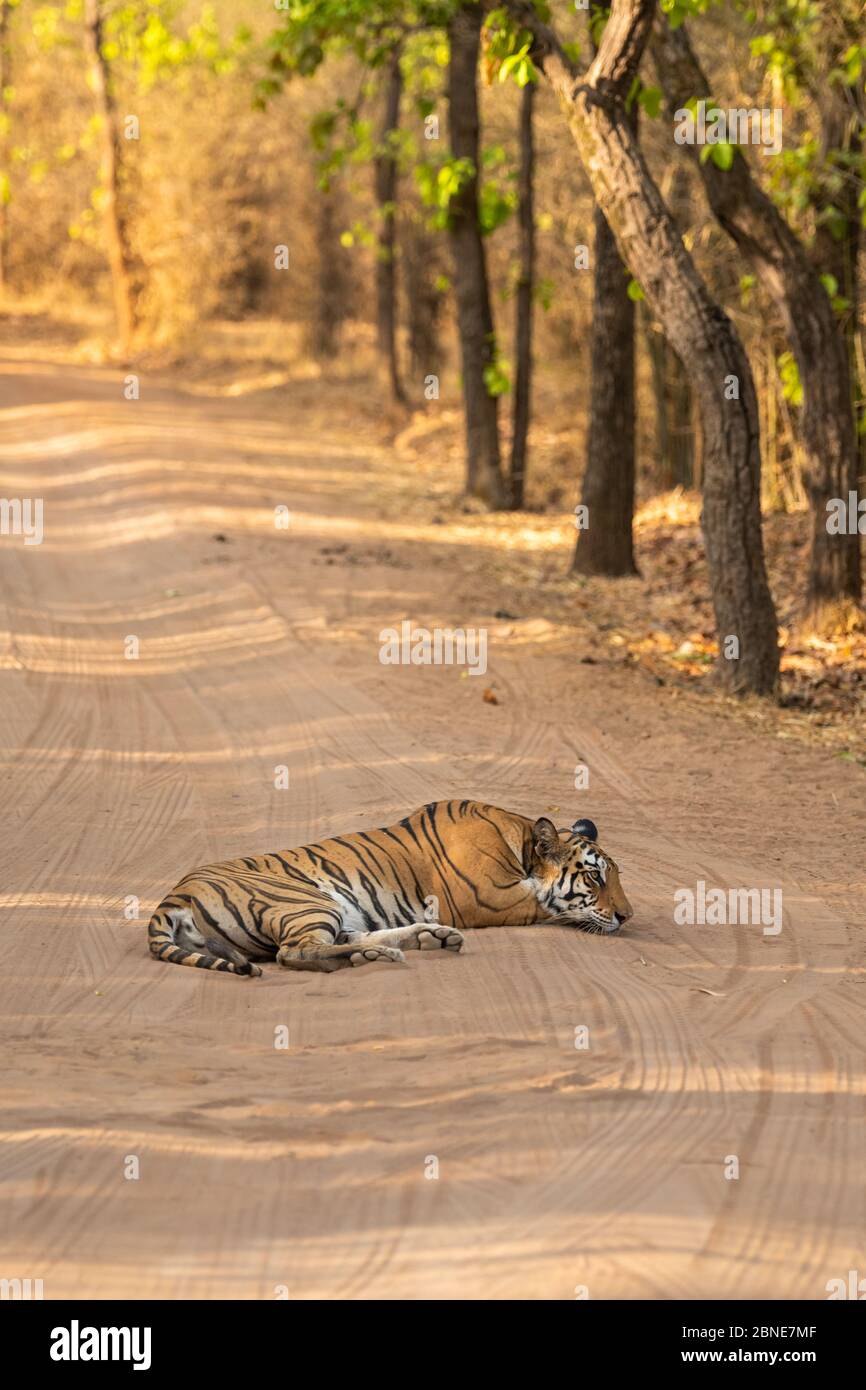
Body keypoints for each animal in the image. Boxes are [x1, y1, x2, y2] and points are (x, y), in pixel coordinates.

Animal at [147, 799, 633, 977]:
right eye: (595, 876)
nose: (627, 917)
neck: (519, 838)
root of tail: (174, 895)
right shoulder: (489, 899)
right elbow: (550, 905)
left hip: (329, 909)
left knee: (347, 938)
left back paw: (426, 938)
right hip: (307, 900)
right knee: (294, 953)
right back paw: (382, 955)